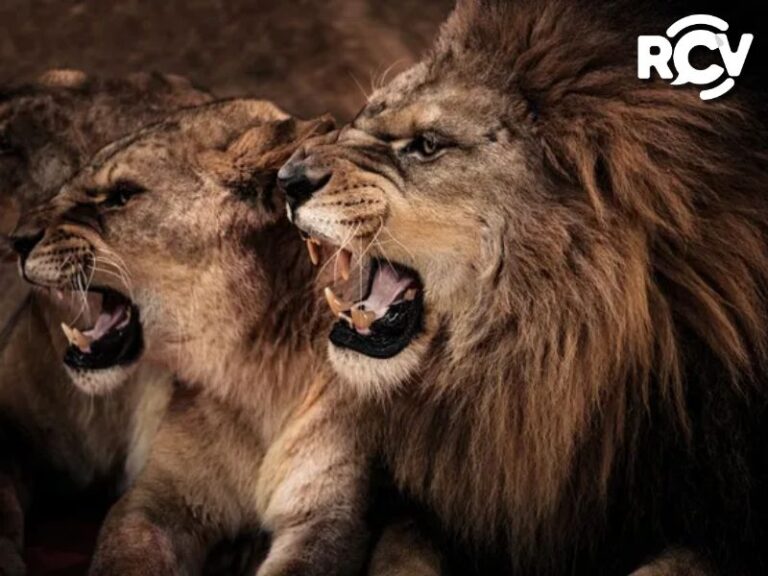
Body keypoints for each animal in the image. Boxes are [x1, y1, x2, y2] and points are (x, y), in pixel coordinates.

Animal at [13, 97, 442, 576]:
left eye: (121, 195)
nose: (16, 239)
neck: (256, 364)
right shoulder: (158, 498)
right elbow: (127, 555)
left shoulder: (328, 516)